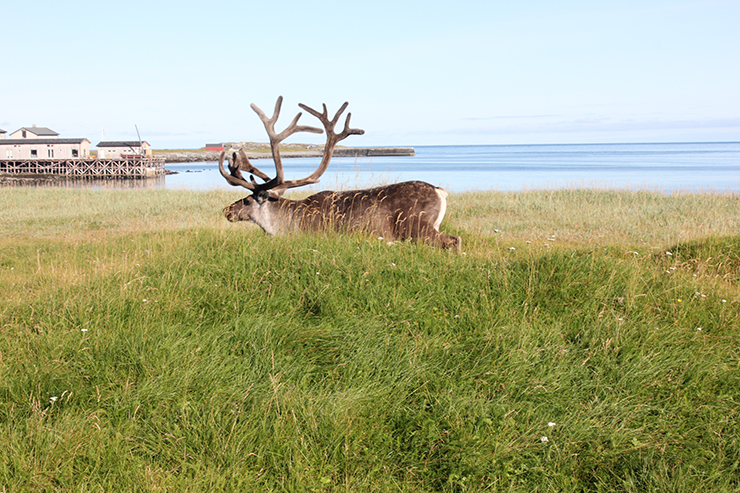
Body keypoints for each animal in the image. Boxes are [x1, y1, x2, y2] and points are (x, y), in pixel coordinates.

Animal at [219, 96, 461, 251]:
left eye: (248, 200)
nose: (227, 210)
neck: (289, 223)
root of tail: (439, 191)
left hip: (416, 226)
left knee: (454, 240)